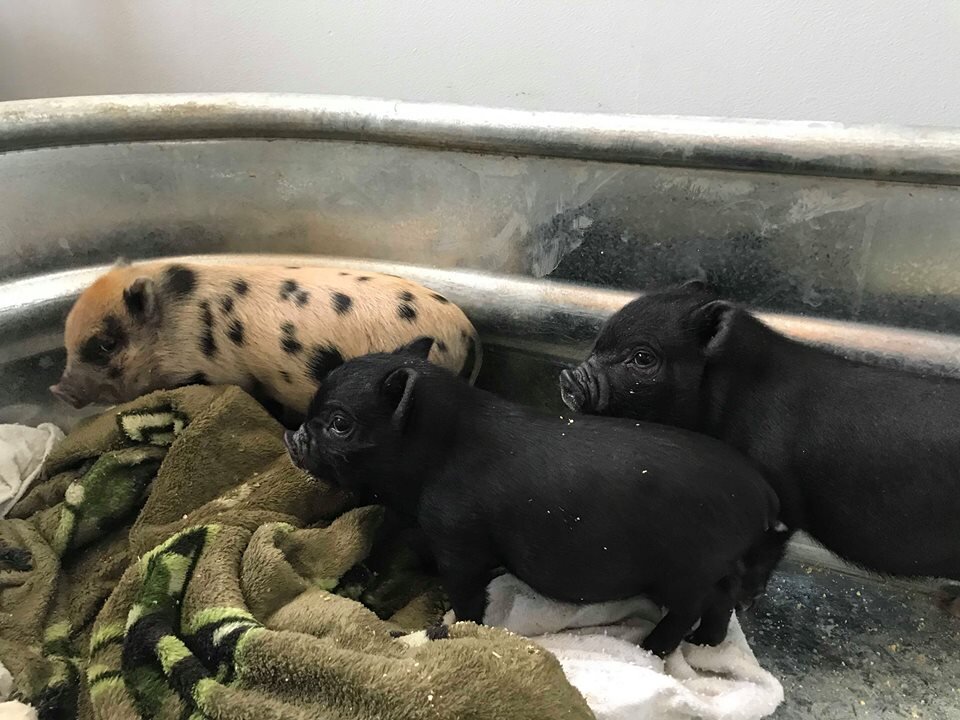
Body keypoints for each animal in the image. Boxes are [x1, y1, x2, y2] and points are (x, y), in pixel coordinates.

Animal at [284, 339, 780, 657]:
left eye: (340, 423)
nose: (293, 437)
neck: (436, 454)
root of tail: (761, 493)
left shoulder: (459, 536)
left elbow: (465, 587)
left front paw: (461, 626)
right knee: (723, 597)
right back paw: (706, 644)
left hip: (686, 568)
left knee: (692, 604)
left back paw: (652, 649)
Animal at [560, 282, 960, 614]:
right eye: (597, 344)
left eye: (642, 358)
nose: (567, 378)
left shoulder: (782, 500)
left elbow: (761, 555)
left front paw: (741, 603)